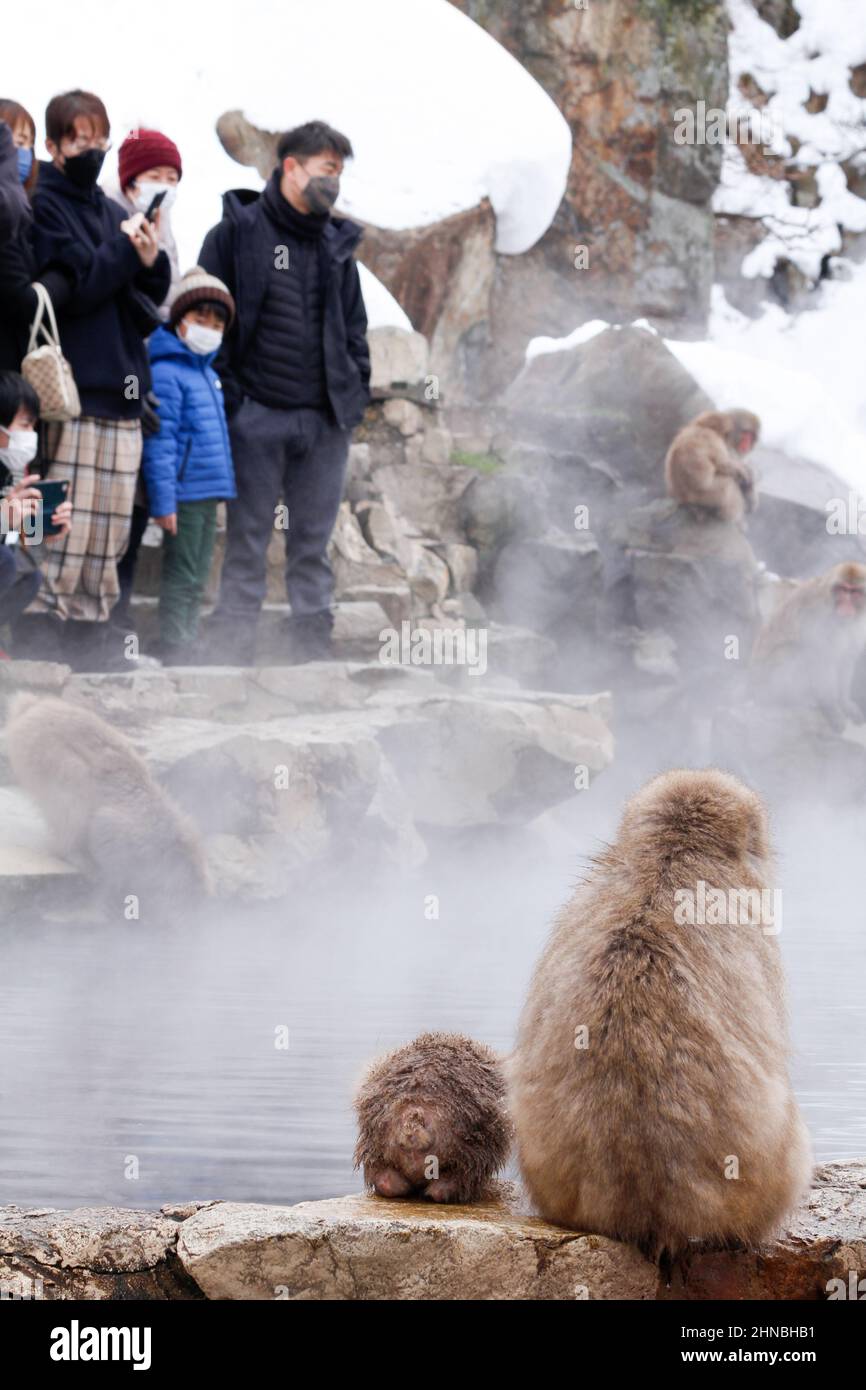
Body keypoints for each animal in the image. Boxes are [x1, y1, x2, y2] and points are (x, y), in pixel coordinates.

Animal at [5, 693, 212, 915]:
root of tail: (32, 707)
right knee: (72, 797)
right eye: (190, 896)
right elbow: (103, 832)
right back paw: (78, 857)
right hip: (44, 751)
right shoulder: (126, 836)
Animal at [354, 1032, 512, 1203]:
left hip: (374, 1138)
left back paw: (392, 1184)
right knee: (468, 1170)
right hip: (473, 1144)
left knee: (382, 1172)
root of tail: (414, 1117)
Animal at [751, 562, 866, 731]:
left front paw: (845, 703)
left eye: (854, 592)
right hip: (767, 683)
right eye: (842, 590)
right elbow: (822, 658)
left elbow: (846, 660)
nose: (846, 606)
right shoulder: (818, 618)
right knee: (795, 651)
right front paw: (833, 709)